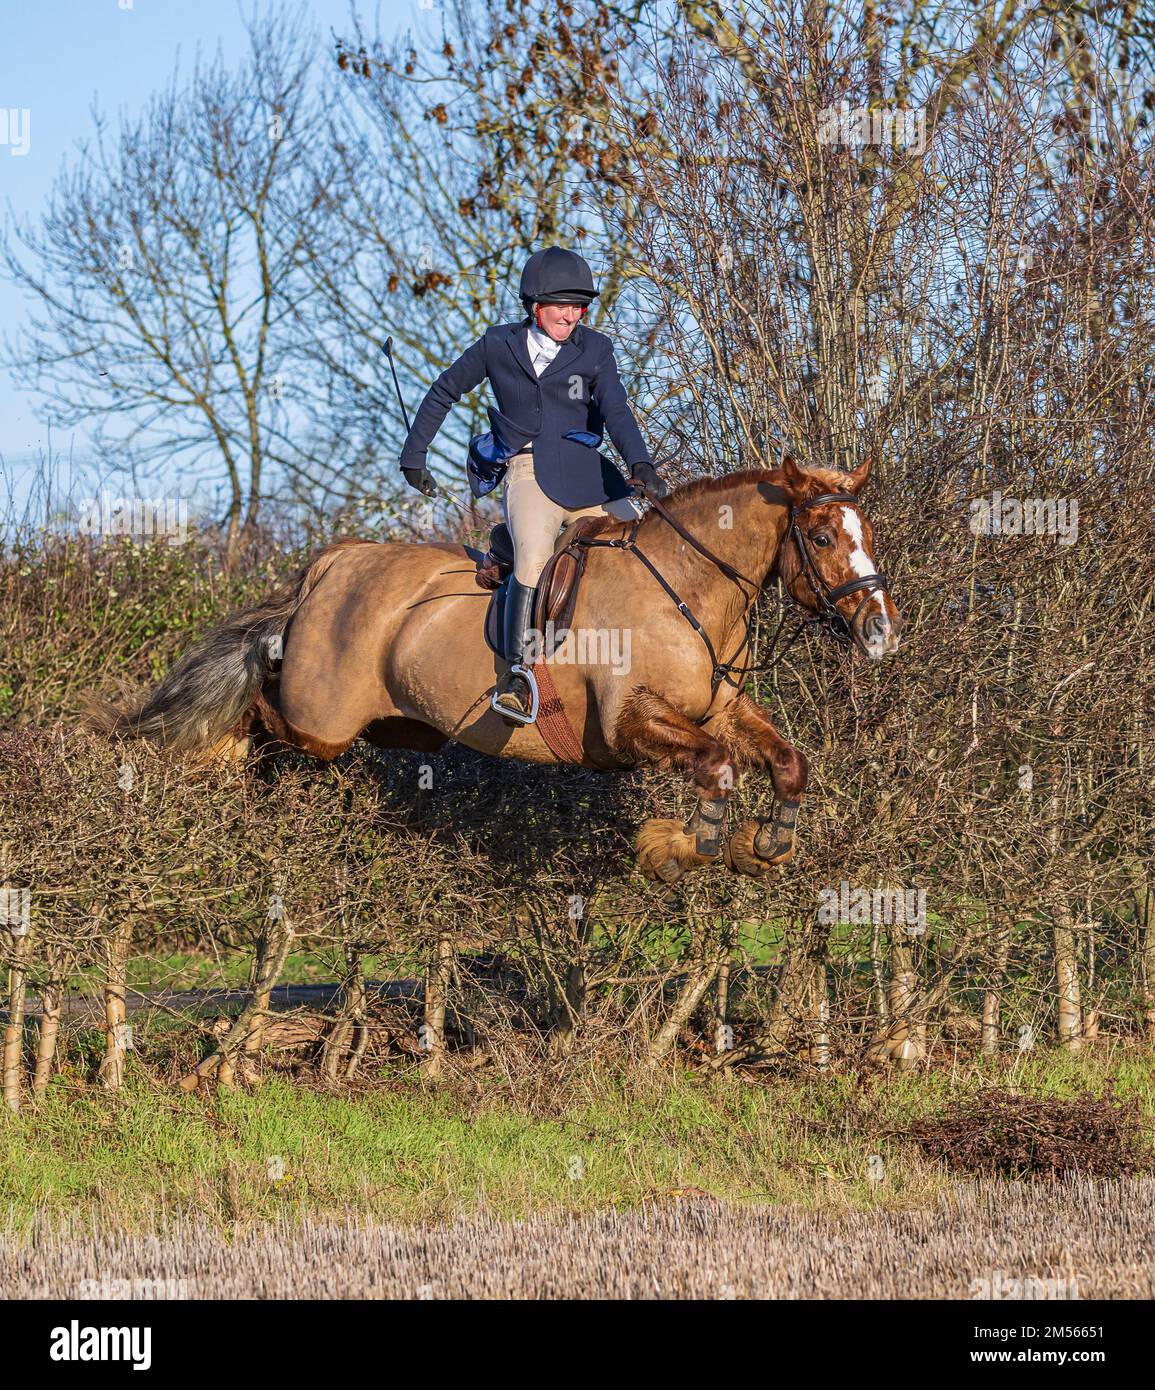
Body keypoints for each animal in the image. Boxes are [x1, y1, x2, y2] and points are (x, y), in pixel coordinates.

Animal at [83, 455, 902, 883]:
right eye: (821, 536)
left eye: (865, 529)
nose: (880, 631)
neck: (687, 589)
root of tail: (335, 562)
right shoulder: (631, 723)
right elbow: (718, 769)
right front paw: (679, 848)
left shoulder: (719, 710)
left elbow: (786, 761)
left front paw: (766, 845)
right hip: (322, 720)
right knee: (262, 707)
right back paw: (216, 760)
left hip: (402, 727)